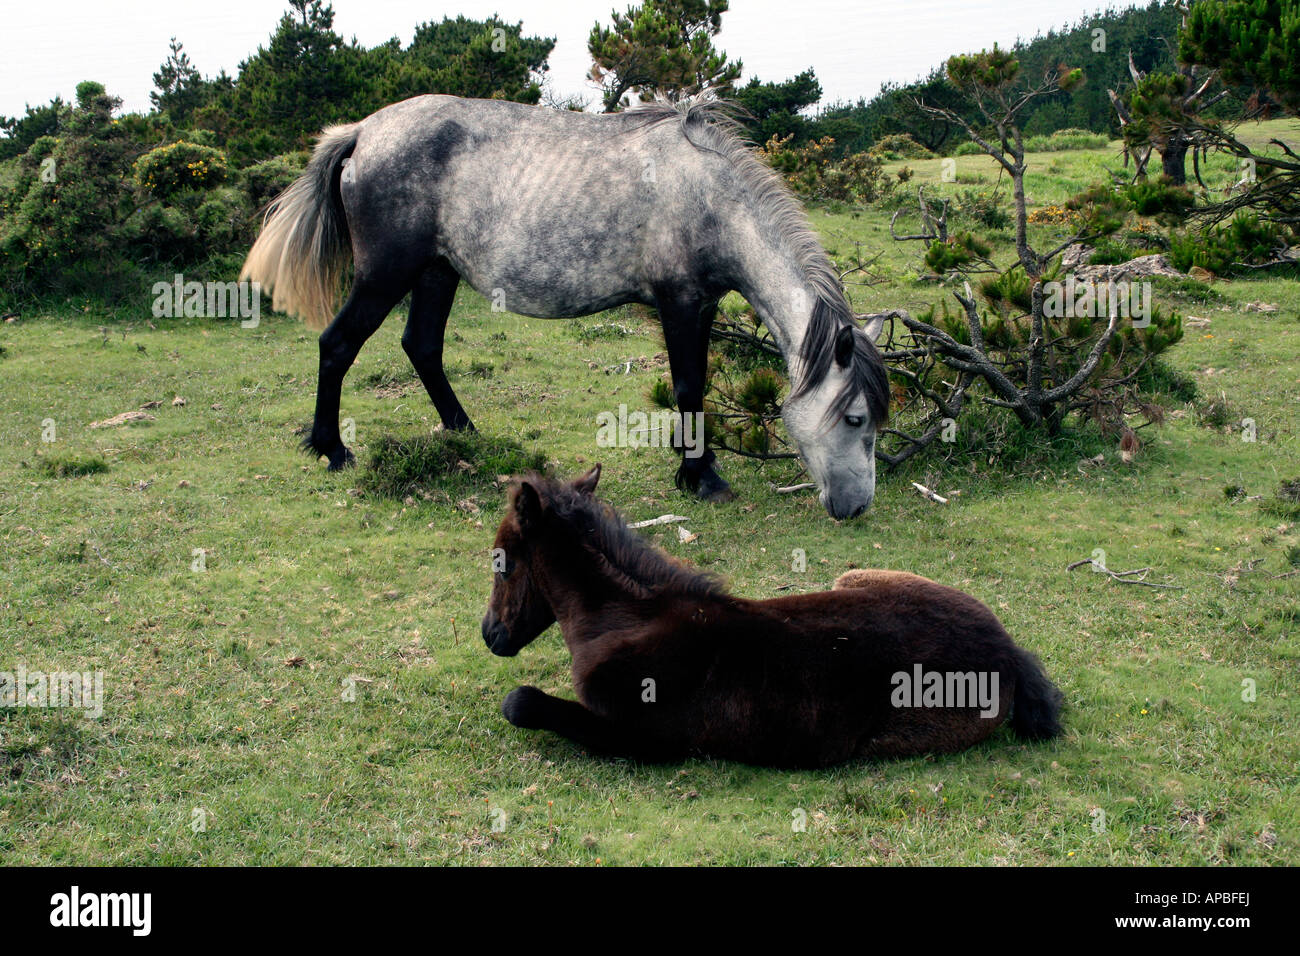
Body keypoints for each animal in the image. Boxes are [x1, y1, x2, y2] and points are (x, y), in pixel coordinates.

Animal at [240, 94, 890, 519]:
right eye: (856, 419)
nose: (857, 507)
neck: (707, 196)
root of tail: (363, 132)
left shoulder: (702, 305)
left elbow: (692, 386)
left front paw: (691, 469)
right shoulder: (681, 302)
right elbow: (689, 387)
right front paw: (701, 476)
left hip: (436, 272)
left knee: (421, 346)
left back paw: (465, 435)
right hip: (385, 275)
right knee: (338, 345)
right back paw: (332, 449)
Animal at [482, 465, 1065, 768]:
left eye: (501, 562)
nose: (490, 635)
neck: (624, 620)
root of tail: (1007, 649)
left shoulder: (652, 740)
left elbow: (520, 701)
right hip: (855, 577)